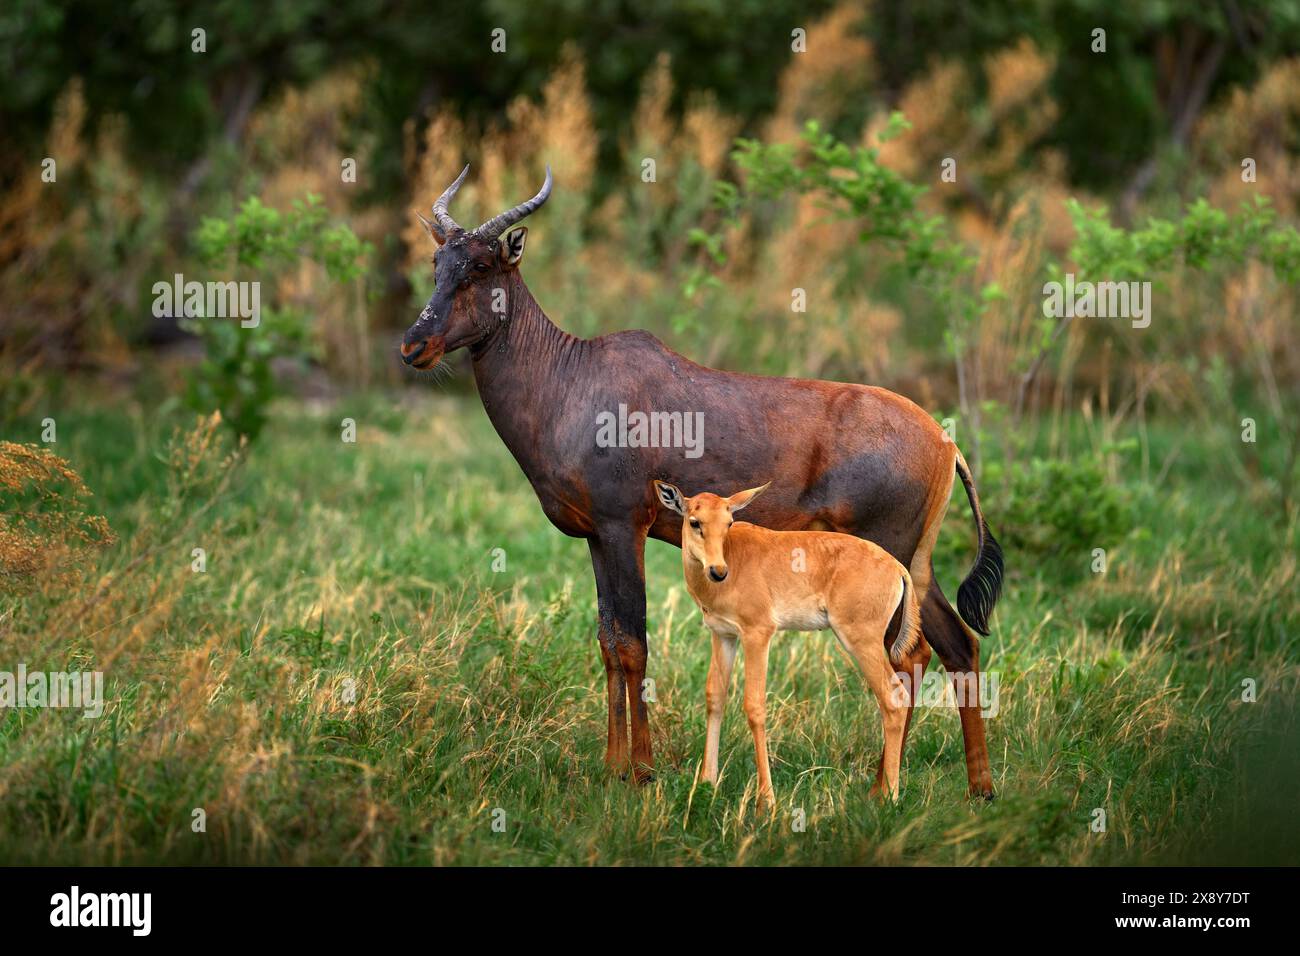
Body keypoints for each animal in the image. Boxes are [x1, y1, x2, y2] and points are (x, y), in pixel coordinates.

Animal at [654, 480, 922, 806]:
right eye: (695, 522)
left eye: (728, 521)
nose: (718, 571)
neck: (734, 555)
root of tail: (896, 567)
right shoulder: (723, 635)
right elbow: (714, 697)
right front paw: (707, 782)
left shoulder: (758, 634)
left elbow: (754, 705)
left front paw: (766, 799)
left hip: (862, 641)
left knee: (893, 699)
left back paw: (890, 796)